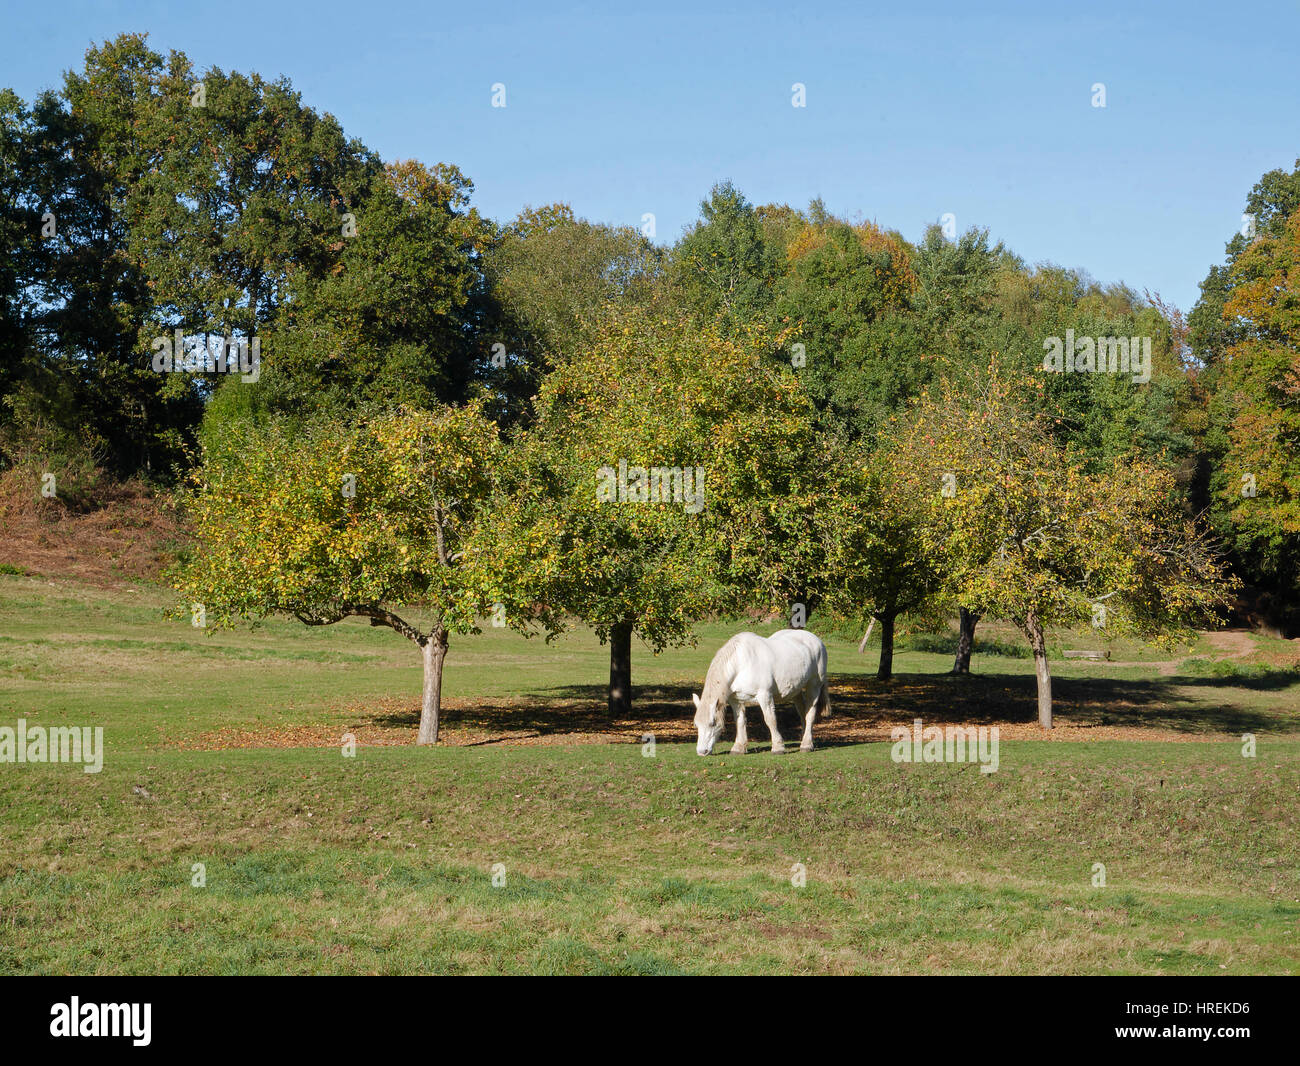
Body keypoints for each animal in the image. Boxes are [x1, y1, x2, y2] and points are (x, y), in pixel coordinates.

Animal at [692, 629, 830, 756]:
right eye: (696, 724)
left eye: (712, 723)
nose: (701, 751)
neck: (741, 664)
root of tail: (816, 640)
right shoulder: (735, 700)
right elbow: (739, 721)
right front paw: (738, 748)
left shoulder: (765, 695)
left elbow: (770, 720)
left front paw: (778, 747)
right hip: (796, 691)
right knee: (802, 713)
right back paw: (804, 739)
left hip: (814, 686)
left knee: (810, 713)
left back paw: (806, 745)